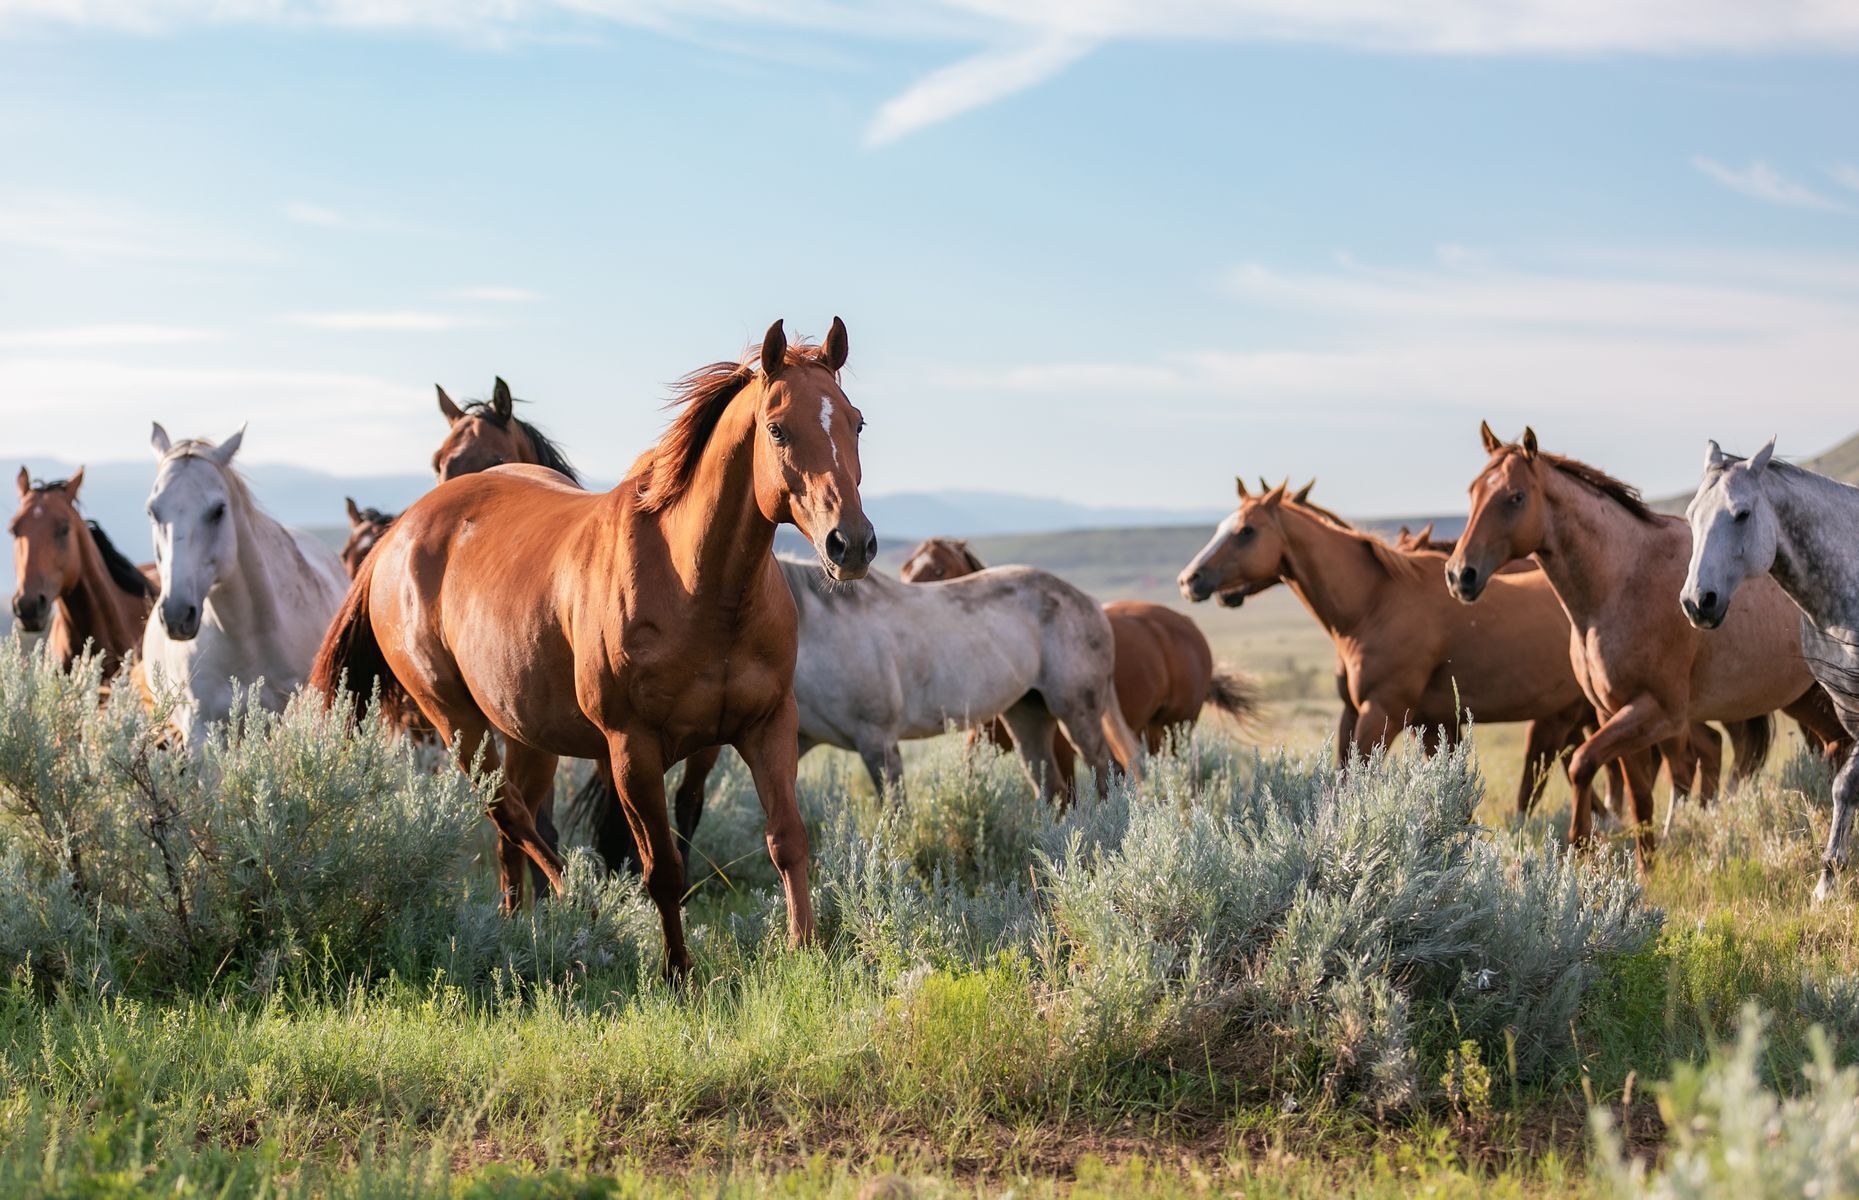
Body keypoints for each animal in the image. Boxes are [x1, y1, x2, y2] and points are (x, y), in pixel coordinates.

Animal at [1445, 424, 1848, 866]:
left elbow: (1584, 764)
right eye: (1472, 491)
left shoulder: (1657, 714)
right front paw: (1646, 868)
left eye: (1515, 497)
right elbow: (1639, 800)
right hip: (1804, 699)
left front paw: (1583, 845)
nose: (1460, 574)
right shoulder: (1612, 714)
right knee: (1835, 748)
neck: (1621, 582)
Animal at [1681, 439, 1859, 901]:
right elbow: (1844, 786)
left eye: (1742, 513)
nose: (1697, 602)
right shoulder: (1848, 708)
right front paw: (1826, 883)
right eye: (1690, 516)